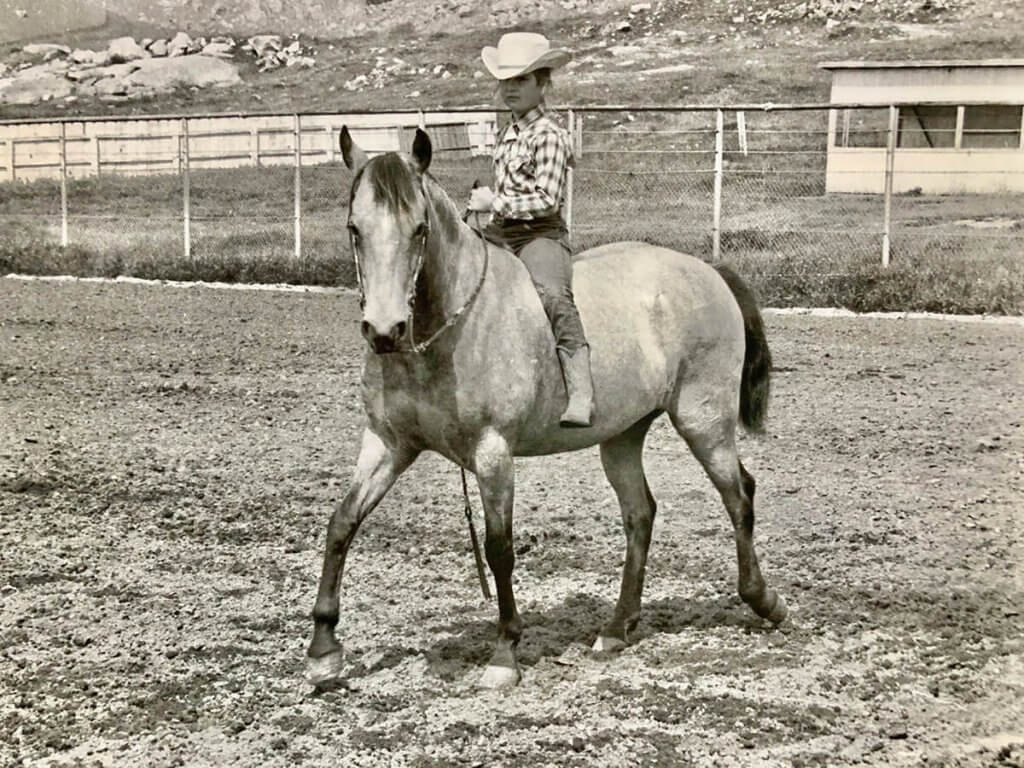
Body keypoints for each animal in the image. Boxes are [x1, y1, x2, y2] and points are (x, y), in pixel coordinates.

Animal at [307, 126, 788, 689]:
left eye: (420, 229)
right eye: (354, 229)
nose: (384, 331)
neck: (442, 333)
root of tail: (708, 270)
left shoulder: (493, 452)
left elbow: (499, 547)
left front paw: (504, 652)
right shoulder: (388, 442)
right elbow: (342, 522)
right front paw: (323, 649)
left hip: (703, 421)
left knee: (739, 496)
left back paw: (765, 601)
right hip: (622, 435)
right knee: (640, 514)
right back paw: (617, 627)